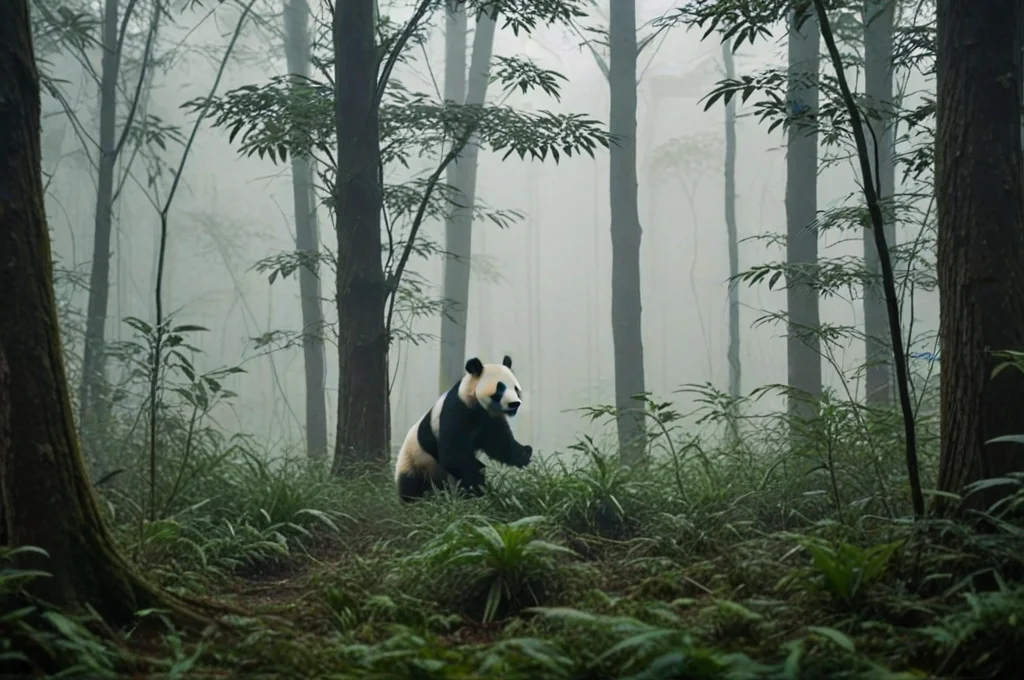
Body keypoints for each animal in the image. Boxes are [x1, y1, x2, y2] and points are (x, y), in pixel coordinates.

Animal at [394, 355, 534, 502]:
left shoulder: (490, 419)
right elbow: (453, 455)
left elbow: (499, 444)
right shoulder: (457, 409)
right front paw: (478, 482)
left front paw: (525, 453)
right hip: (415, 460)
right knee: (412, 485)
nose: (515, 404)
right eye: (499, 389)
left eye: (516, 389)